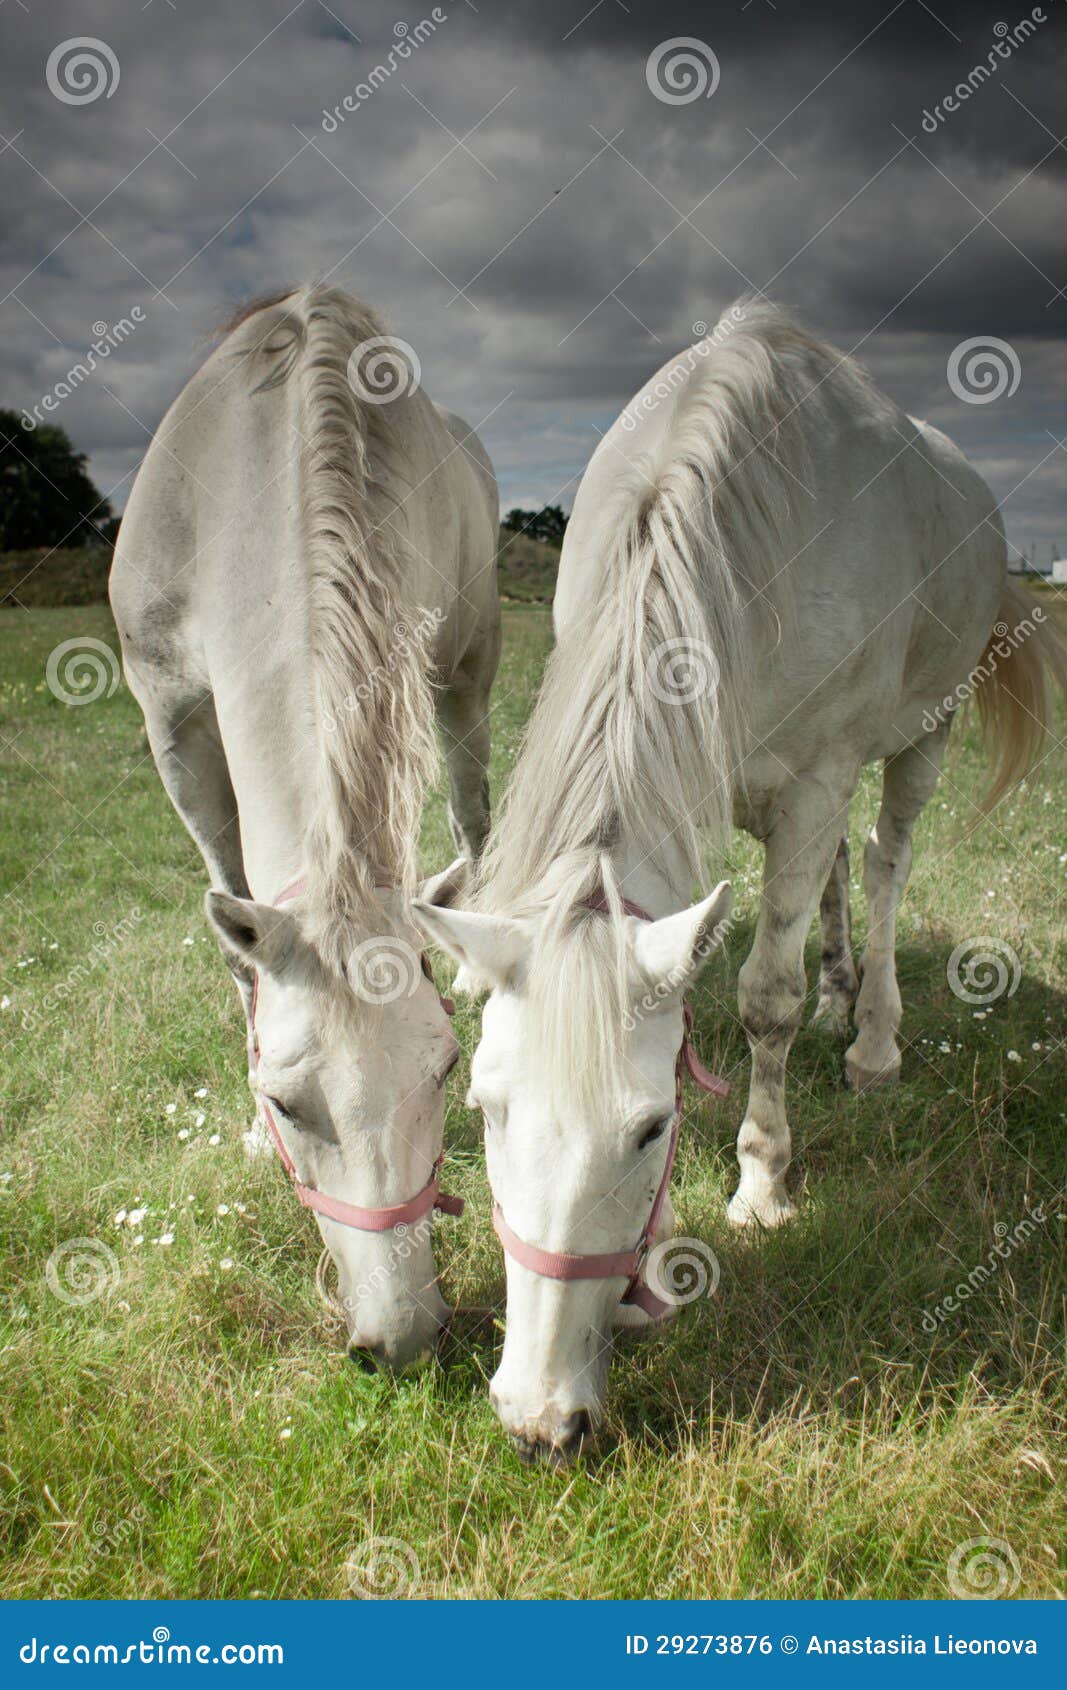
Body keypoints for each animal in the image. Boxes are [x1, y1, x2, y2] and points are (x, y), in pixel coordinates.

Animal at [110, 284, 500, 1370]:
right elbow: (230, 904)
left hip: (466, 669)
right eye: (287, 1102)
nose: (401, 1336)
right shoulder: (172, 722)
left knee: (473, 808)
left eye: (443, 1071)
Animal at [413, 299, 1067, 1459]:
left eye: (648, 1129)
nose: (538, 1419)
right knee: (844, 873)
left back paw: (870, 1034)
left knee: (885, 858)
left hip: (923, 733)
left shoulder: (814, 781)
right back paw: (841, 987)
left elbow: (763, 997)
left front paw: (761, 1177)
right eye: (483, 1107)